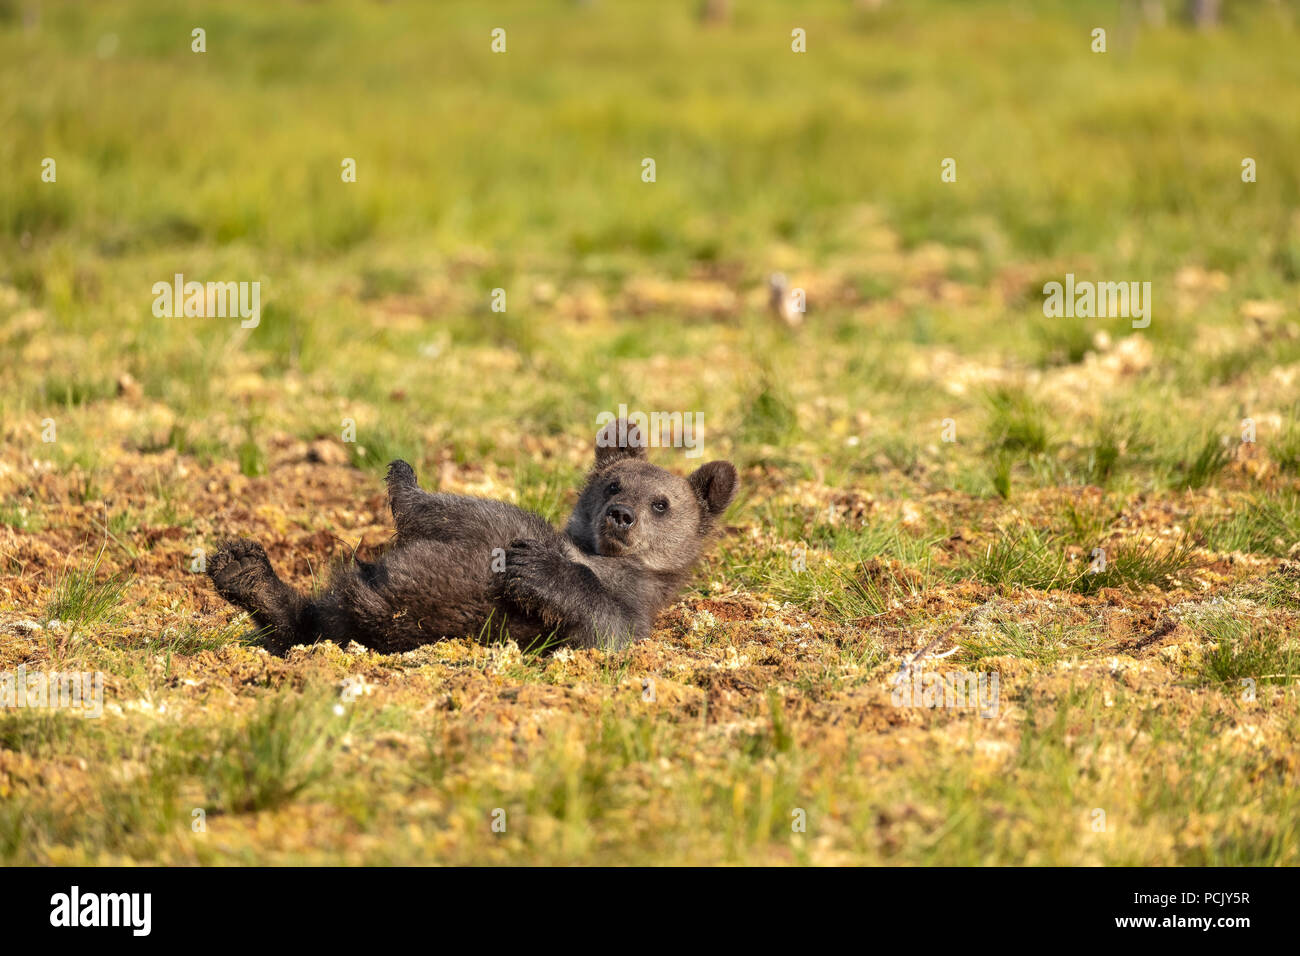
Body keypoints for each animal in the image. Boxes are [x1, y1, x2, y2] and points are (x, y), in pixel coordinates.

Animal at [206, 419, 738, 654]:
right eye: (613, 484)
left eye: (661, 503)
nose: (621, 515)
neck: (592, 553)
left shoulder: (632, 603)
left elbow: (606, 628)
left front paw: (537, 570)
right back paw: (244, 571)